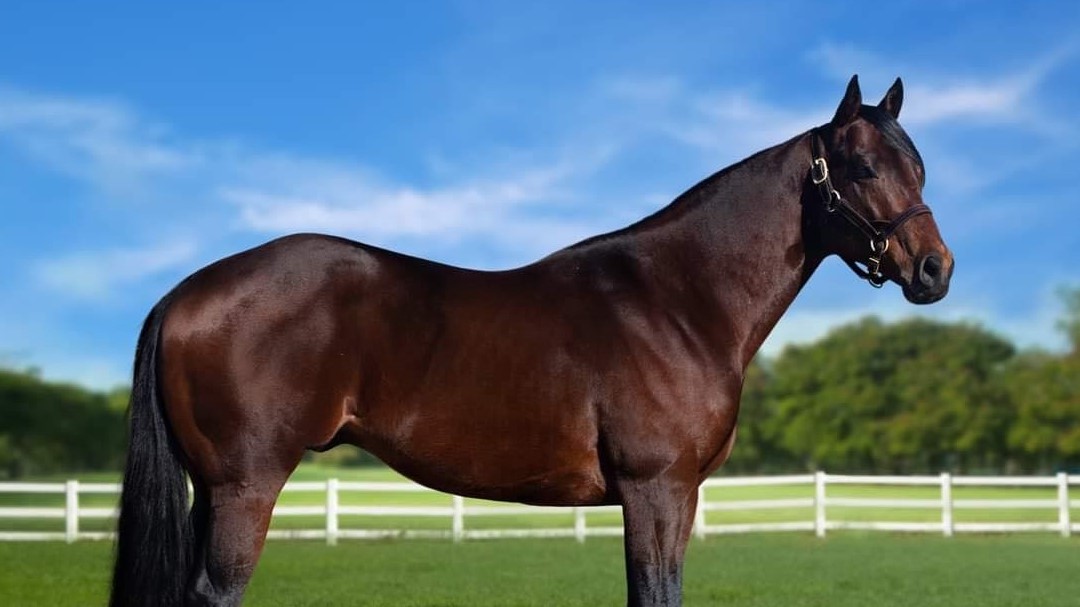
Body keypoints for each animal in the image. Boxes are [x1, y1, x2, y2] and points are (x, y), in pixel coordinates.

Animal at [110, 75, 952, 607]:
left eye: (918, 164)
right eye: (863, 166)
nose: (935, 269)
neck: (677, 299)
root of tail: (185, 292)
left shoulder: (675, 495)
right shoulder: (656, 489)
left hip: (212, 489)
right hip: (245, 486)